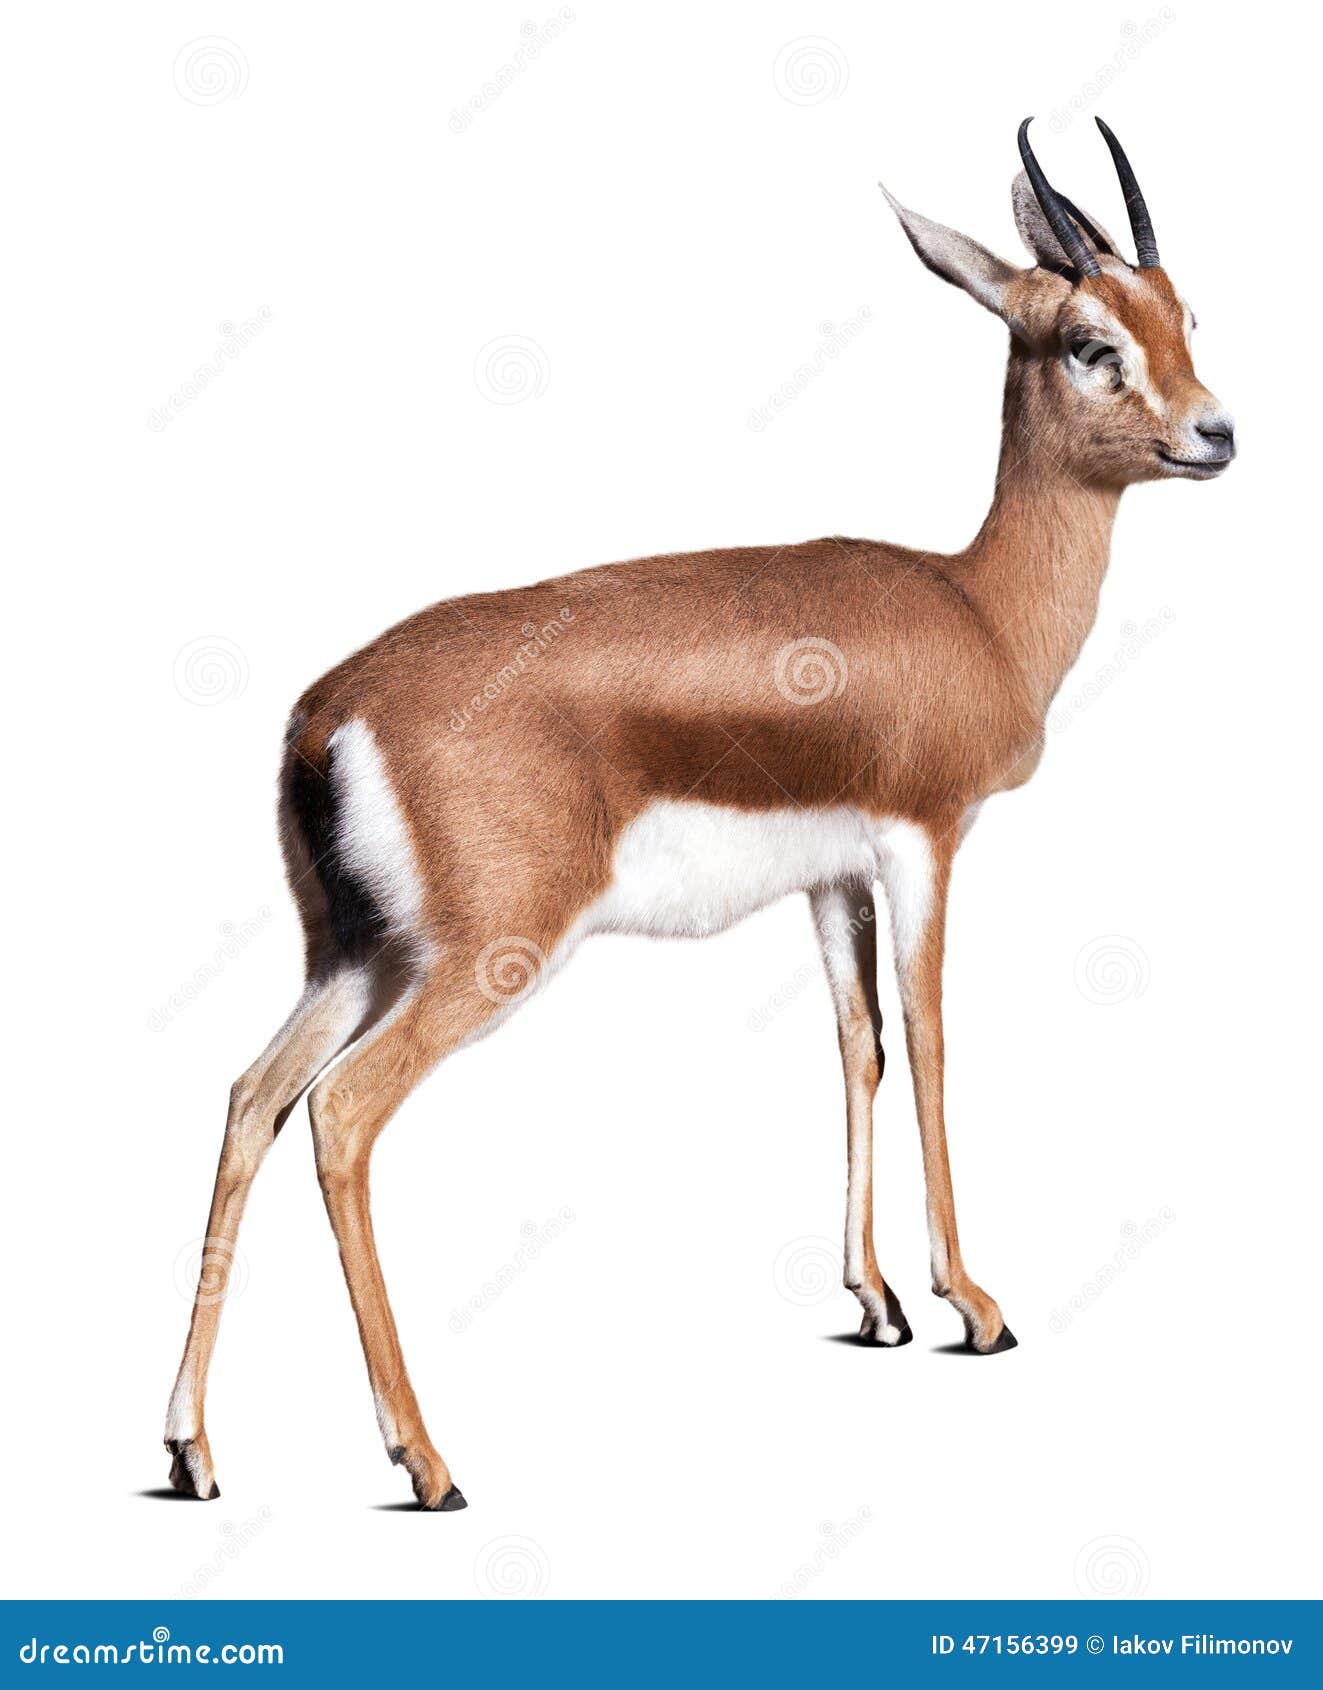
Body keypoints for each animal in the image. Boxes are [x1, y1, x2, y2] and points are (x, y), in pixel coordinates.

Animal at [165, 118, 1234, 1510]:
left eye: (1185, 315)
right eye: (1090, 342)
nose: (1218, 433)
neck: (978, 609)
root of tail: (328, 712)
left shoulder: (831, 873)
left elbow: (857, 1043)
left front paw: (877, 1303)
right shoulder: (924, 839)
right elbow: (933, 1040)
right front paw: (975, 1304)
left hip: (357, 953)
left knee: (251, 1097)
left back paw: (191, 1449)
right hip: (481, 957)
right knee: (339, 1114)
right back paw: (428, 1461)